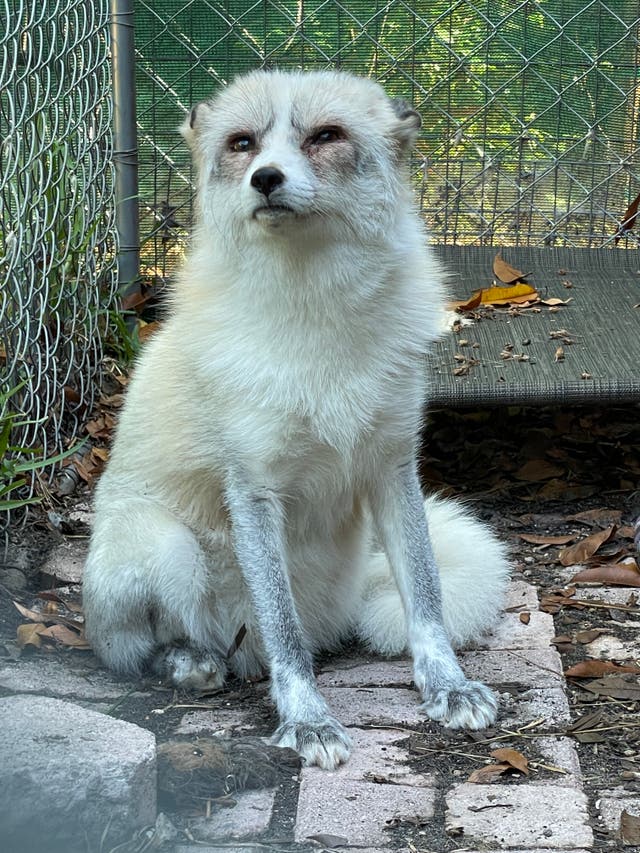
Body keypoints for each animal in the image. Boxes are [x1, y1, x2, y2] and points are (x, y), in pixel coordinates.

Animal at [82, 69, 511, 769]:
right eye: (243, 144)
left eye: (325, 137)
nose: (265, 179)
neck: (317, 316)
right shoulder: (254, 489)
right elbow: (285, 637)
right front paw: (307, 720)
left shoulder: (393, 467)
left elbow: (426, 603)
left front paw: (448, 687)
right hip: (160, 543)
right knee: (141, 651)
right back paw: (190, 664)